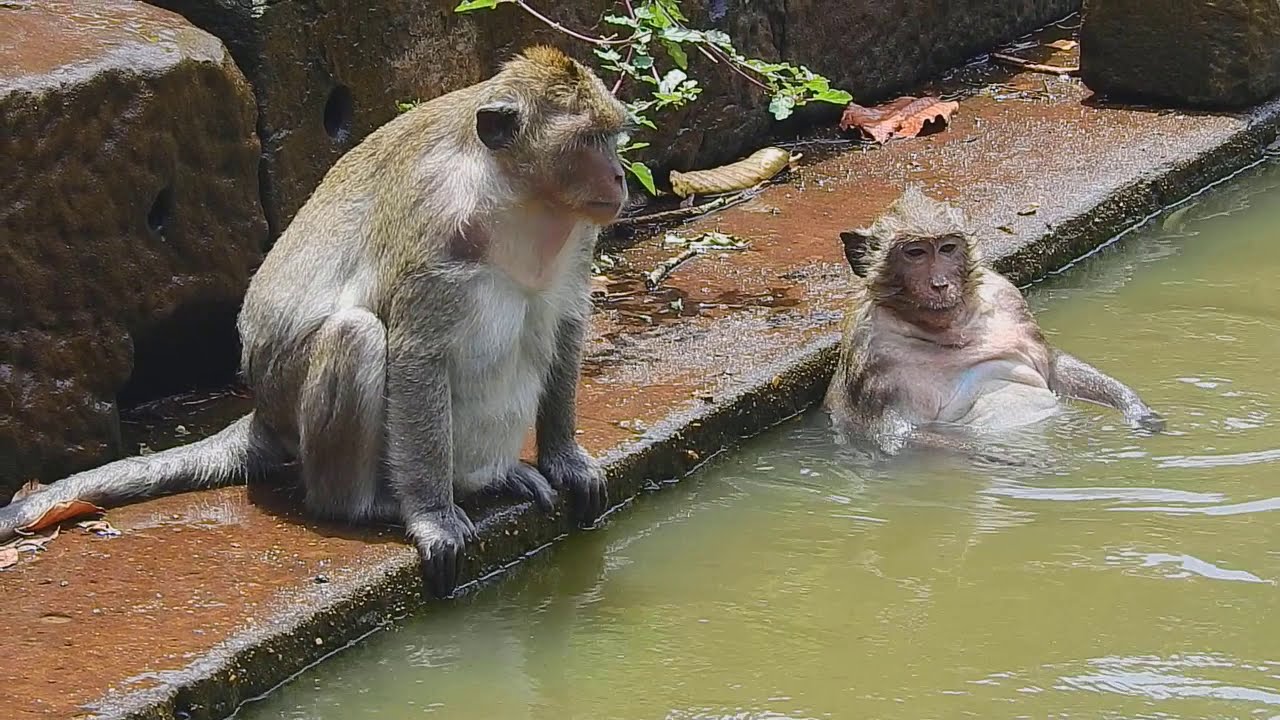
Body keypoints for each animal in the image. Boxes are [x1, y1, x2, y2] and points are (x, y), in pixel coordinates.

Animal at [0, 46, 629, 599]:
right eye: (588, 141)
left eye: (611, 136)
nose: (622, 177)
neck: (516, 197)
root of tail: (262, 411)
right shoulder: (437, 219)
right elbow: (416, 353)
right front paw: (431, 516)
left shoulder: (578, 231)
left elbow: (567, 323)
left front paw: (566, 459)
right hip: (295, 404)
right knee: (356, 336)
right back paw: (363, 505)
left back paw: (492, 478)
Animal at [825, 185, 1164, 457]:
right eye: (915, 253)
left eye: (947, 248)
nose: (939, 283)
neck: (949, 329)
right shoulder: (872, 359)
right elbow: (898, 434)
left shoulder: (1008, 299)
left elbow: (1053, 368)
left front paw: (1136, 408)